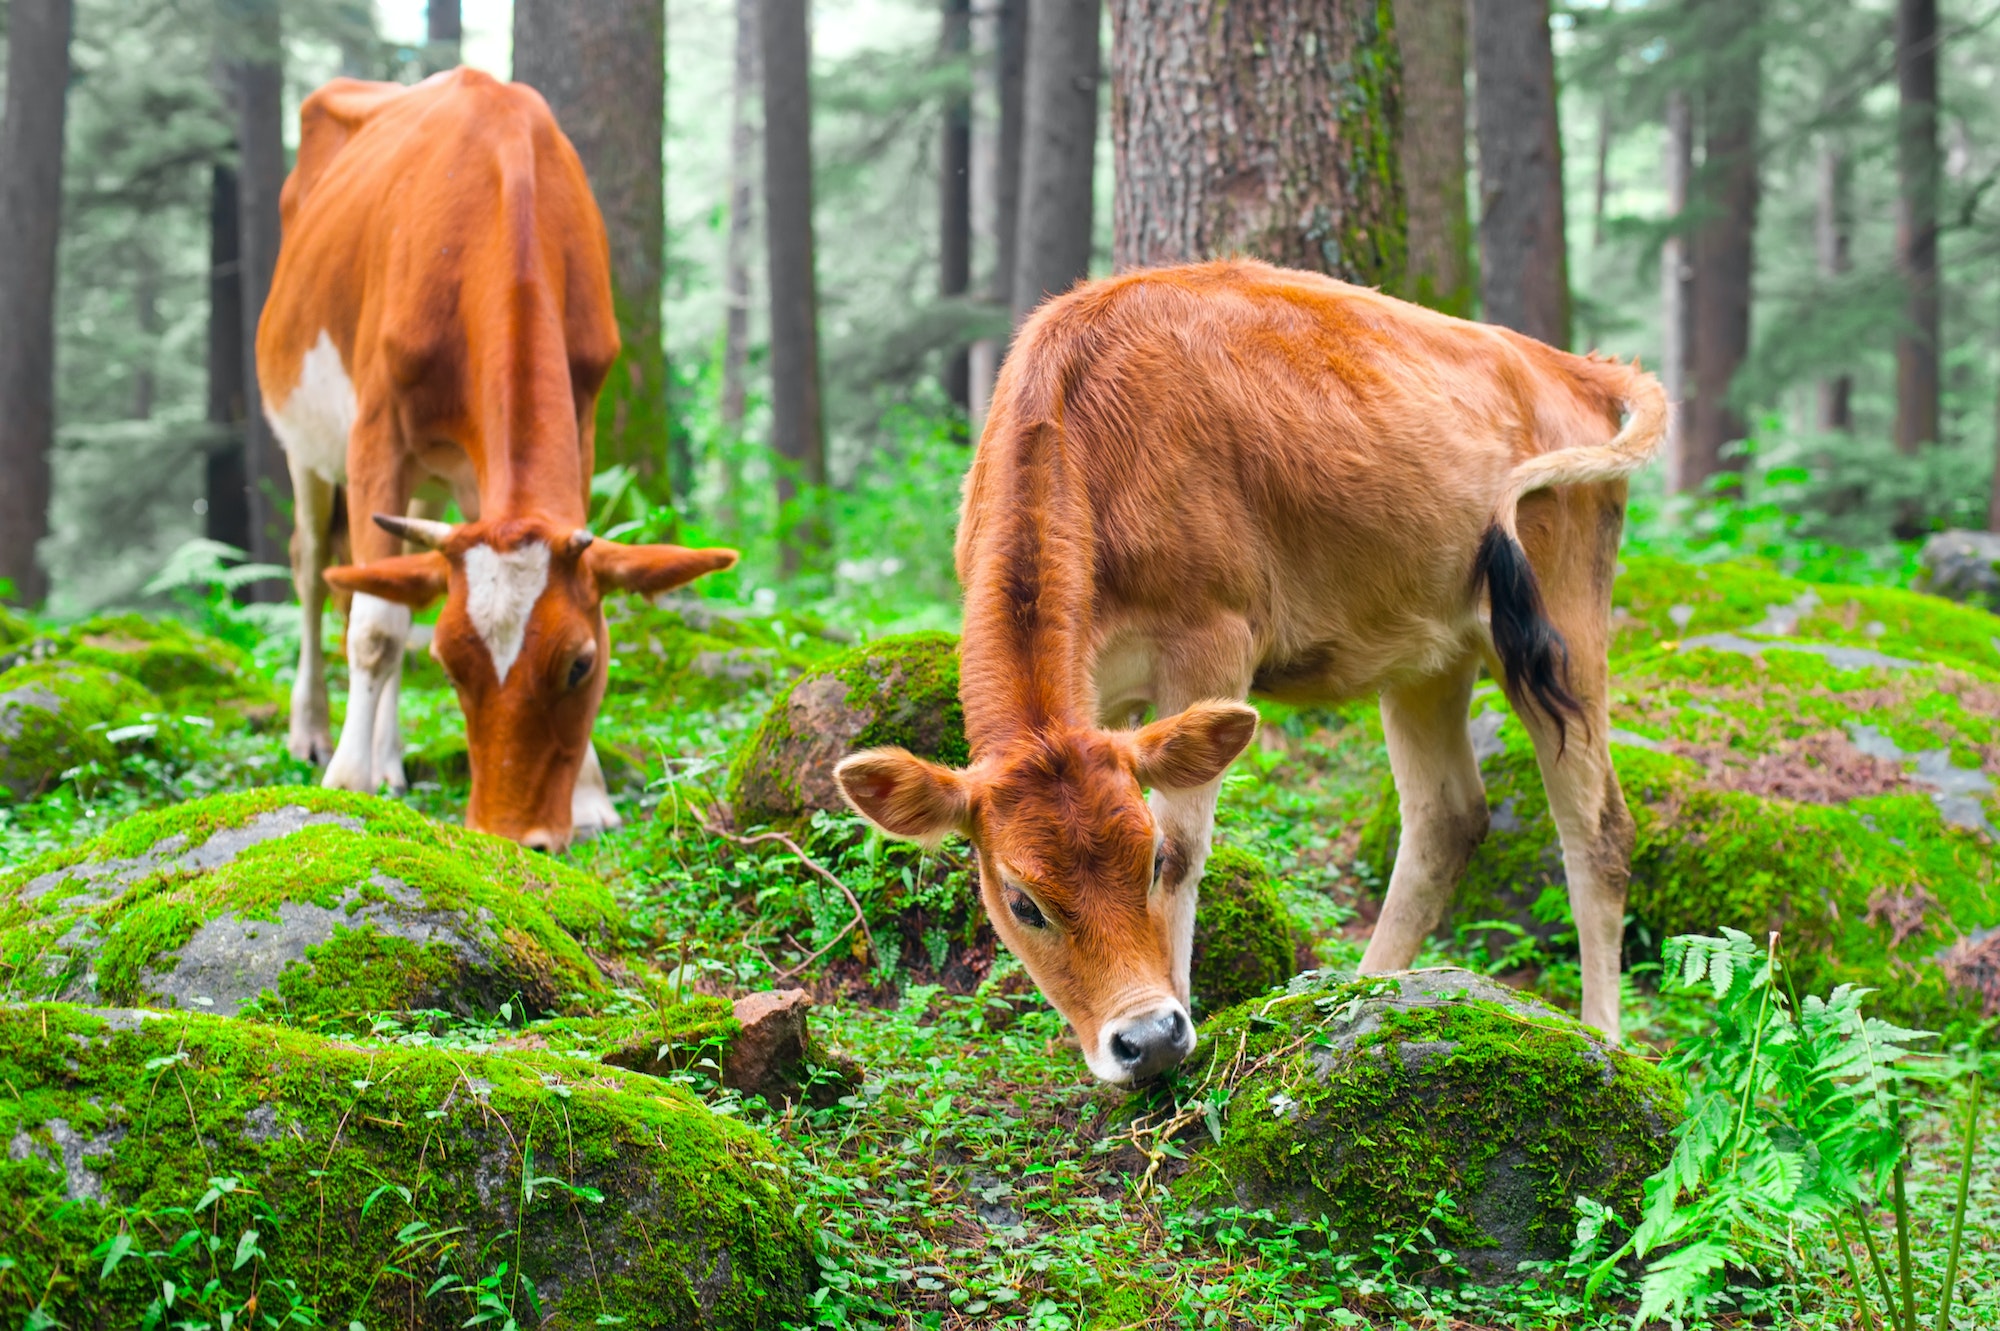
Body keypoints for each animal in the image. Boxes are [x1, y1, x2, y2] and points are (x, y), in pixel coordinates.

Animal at [257, 70, 736, 850]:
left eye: (580, 664)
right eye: (451, 666)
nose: (513, 839)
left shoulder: (583, 408)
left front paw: (592, 794)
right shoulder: (375, 433)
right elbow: (375, 629)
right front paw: (348, 782)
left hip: (440, 479)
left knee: (402, 576)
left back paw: (390, 758)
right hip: (304, 438)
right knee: (312, 569)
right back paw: (317, 733)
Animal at [834, 259, 1665, 1083]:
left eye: (1147, 863)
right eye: (1023, 901)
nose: (1146, 1036)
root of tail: (1576, 367)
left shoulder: (1212, 645)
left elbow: (1189, 836)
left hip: (1557, 629)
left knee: (1597, 827)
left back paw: (1604, 1036)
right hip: (1428, 657)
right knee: (1445, 817)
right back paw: (1362, 988)